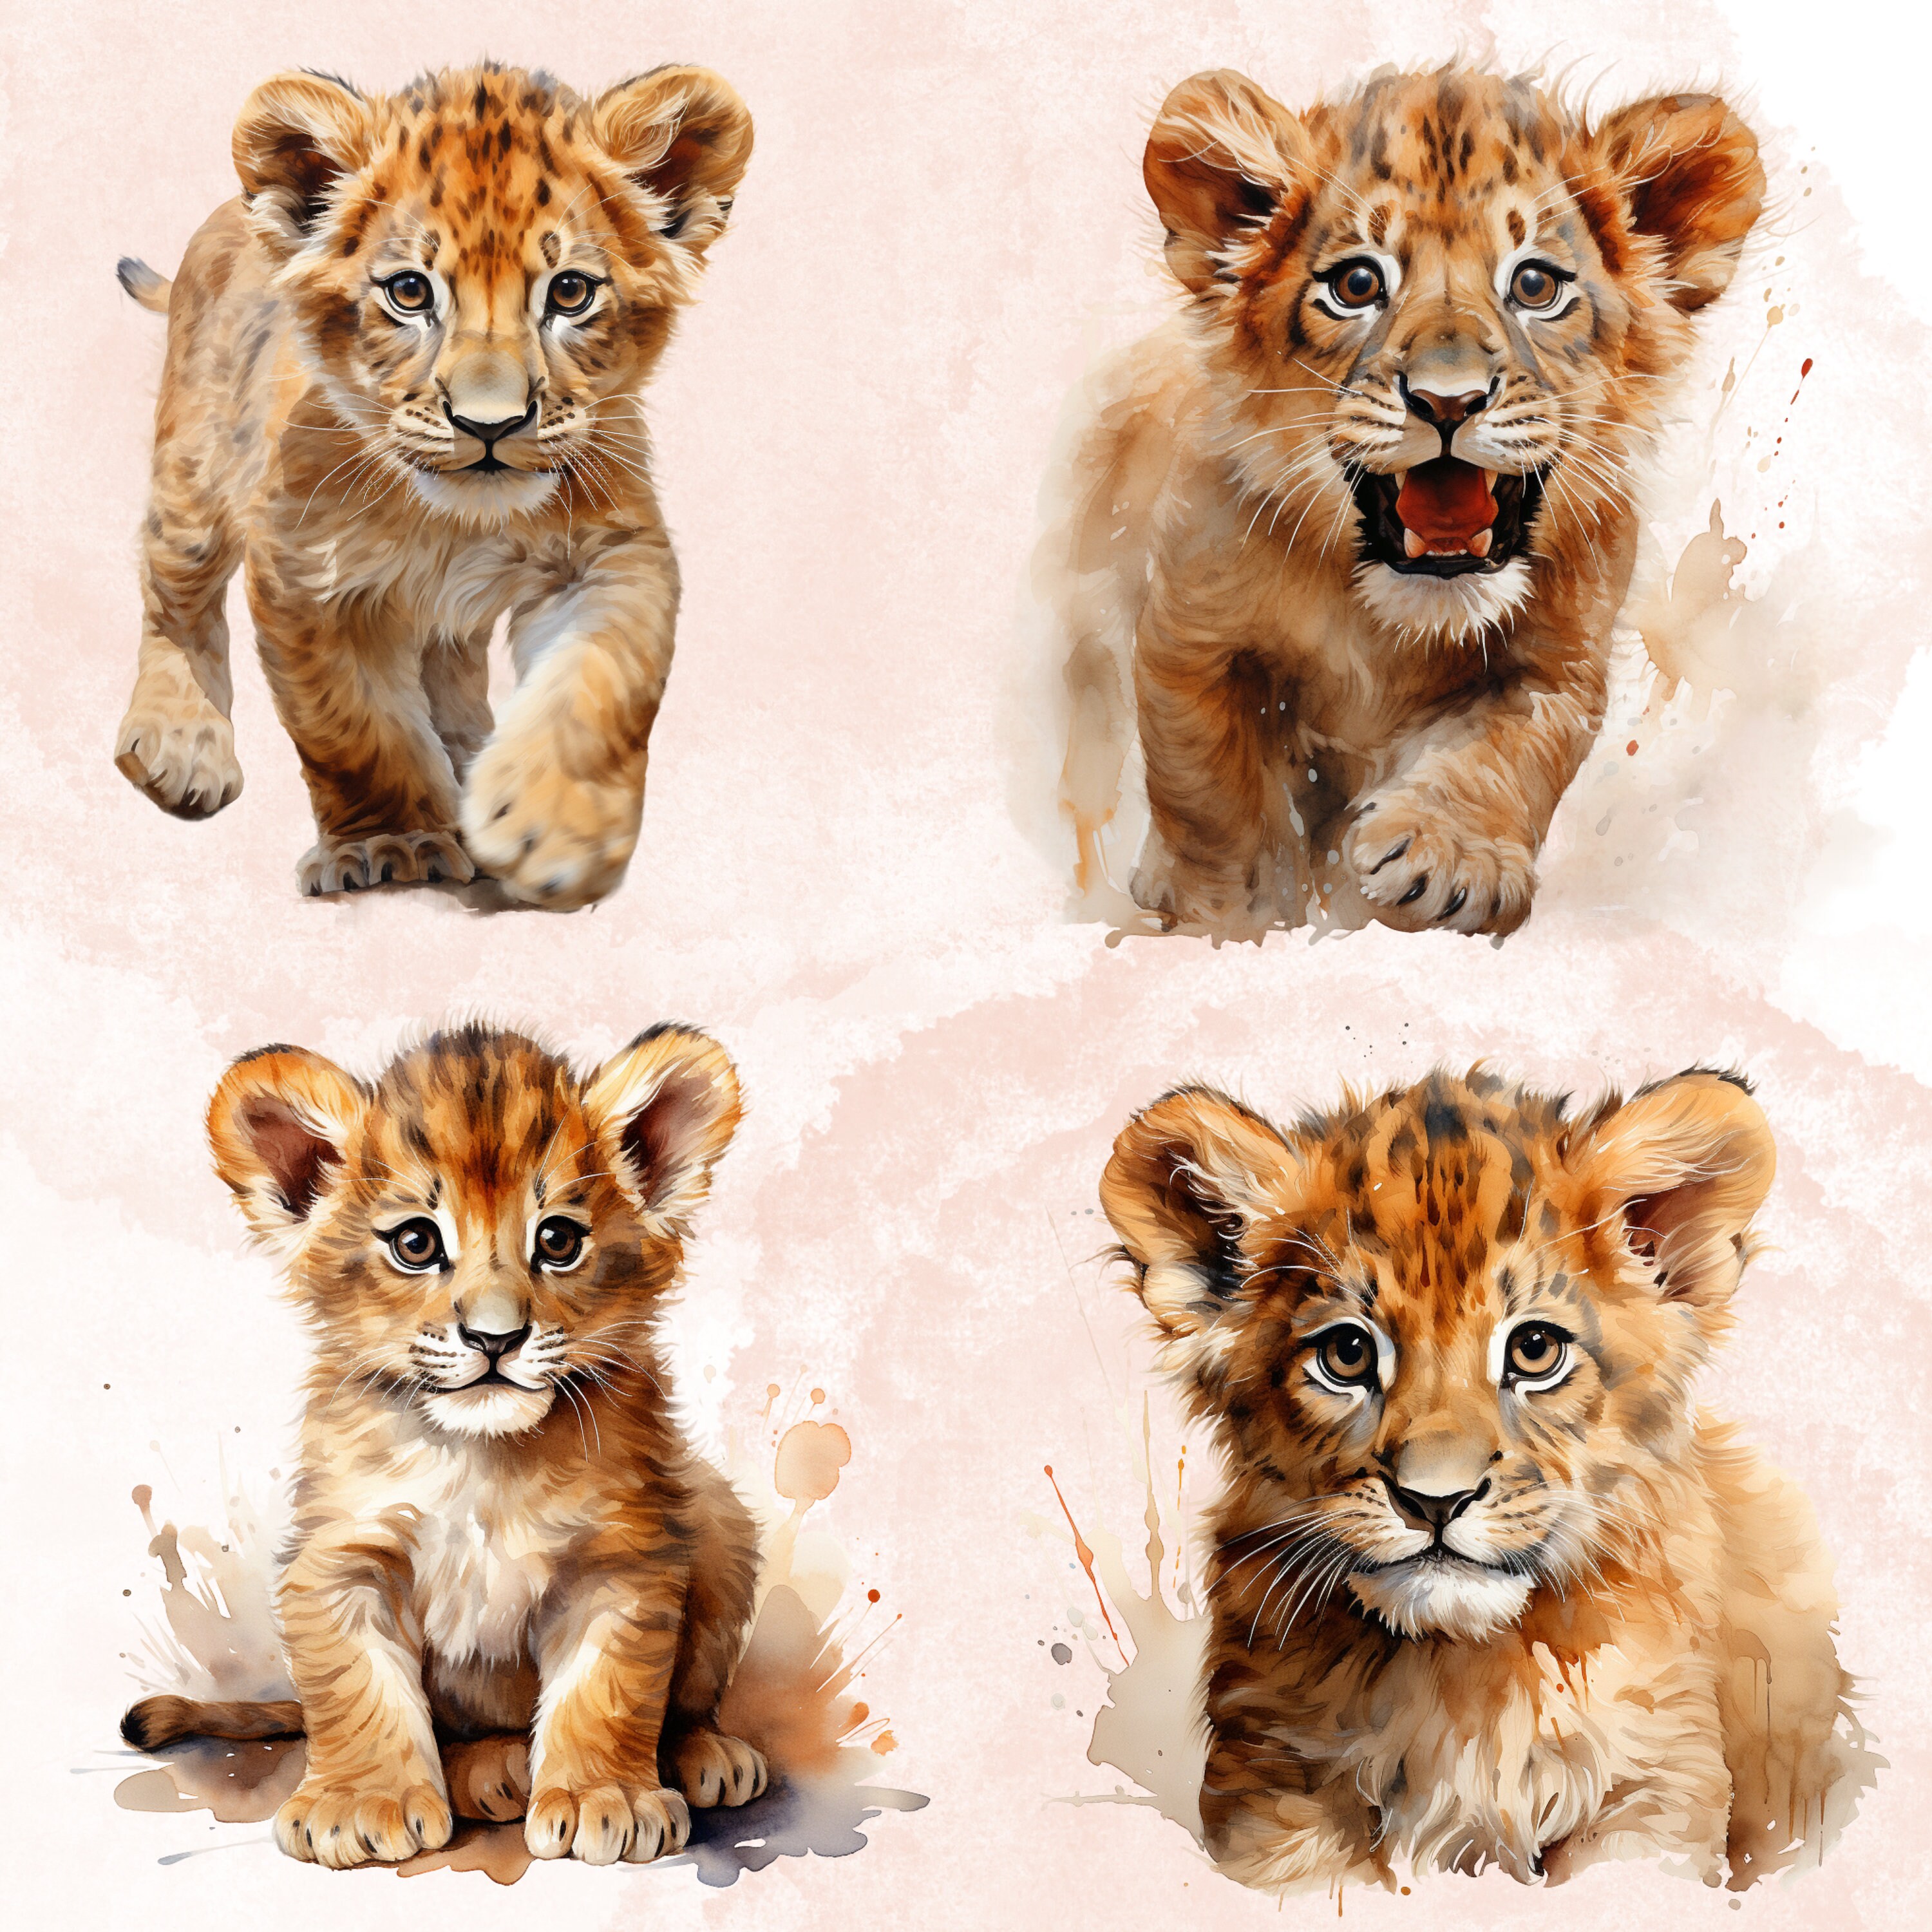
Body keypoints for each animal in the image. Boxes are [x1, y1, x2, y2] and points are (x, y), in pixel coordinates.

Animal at [113, 61, 751, 908]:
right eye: (410, 293)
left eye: (571, 292)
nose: (490, 424)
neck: (458, 523)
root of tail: (229, 208)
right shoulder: (304, 576)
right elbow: (353, 725)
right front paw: (393, 845)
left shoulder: (615, 548)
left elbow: (604, 679)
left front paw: (551, 831)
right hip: (198, 470)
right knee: (173, 593)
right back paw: (179, 744)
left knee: (451, 662)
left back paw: (473, 757)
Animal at [121, 1022, 769, 1867]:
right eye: (416, 1243)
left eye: (558, 1239)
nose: (496, 1339)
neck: (481, 1459)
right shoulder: (343, 1558)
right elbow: (357, 1688)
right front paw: (361, 1806)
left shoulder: (622, 1557)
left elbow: (607, 1689)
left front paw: (606, 1799)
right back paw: (488, 1773)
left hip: (720, 1518)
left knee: (687, 1699)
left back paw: (704, 1755)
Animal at [1044, 66, 1763, 937]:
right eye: (1356, 285)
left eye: (1535, 285)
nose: (1448, 402)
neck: (1389, 627)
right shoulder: (1189, 643)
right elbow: (1214, 798)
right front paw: (1233, 917)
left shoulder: (1559, 666)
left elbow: (1512, 751)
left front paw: (1446, 858)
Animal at [1100, 1065, 1870, 1890]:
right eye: (1346, 1354)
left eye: (1535, 1350)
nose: (1435, 1501)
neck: (1457, 1678)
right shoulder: (1274, 1791)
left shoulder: (1656, 1790)